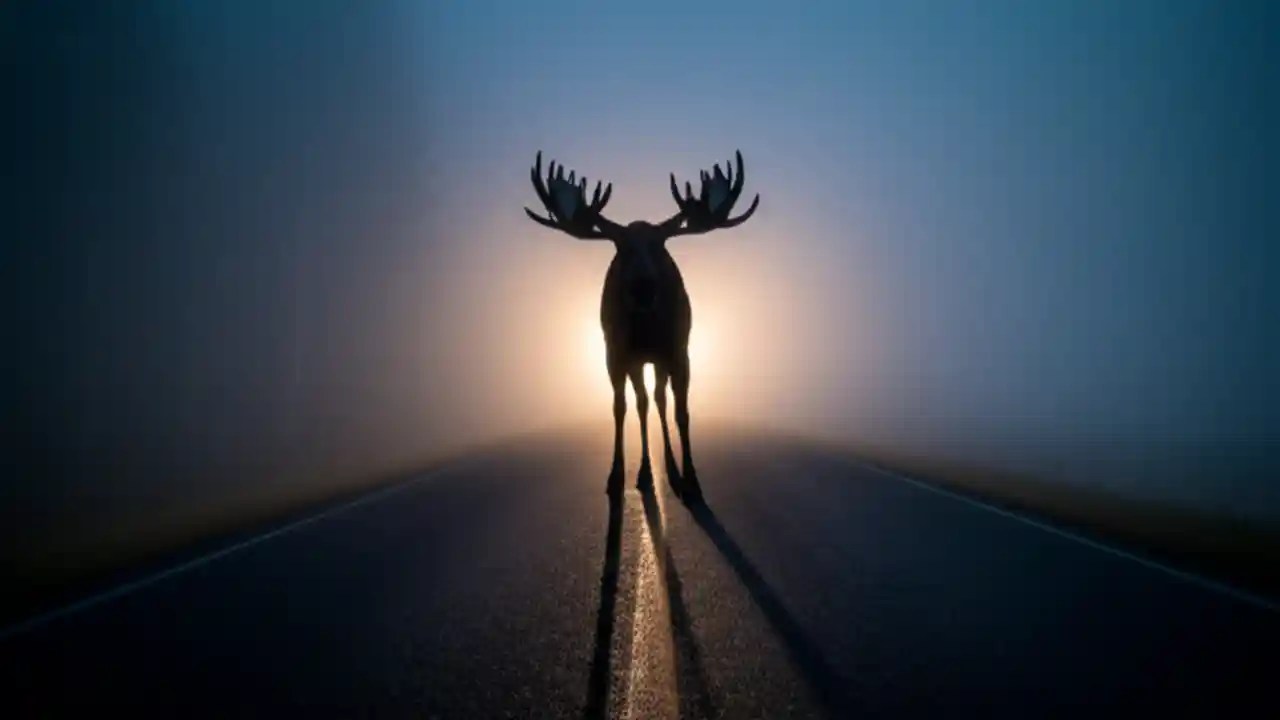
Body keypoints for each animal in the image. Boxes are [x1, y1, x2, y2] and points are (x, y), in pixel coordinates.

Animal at [524, 150, 760, 498]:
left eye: (661, 244)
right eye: (619, 246)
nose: (643, 287)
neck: (647, 329)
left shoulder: (680, 351)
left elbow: (682, 412)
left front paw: (692, 479)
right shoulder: (616, 354)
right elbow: (620, 407)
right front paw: (616, 475)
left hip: (661, 359)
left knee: (660, 399)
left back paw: (670, 466)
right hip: (638, 361)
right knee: (645, 401)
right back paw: (647, 471)